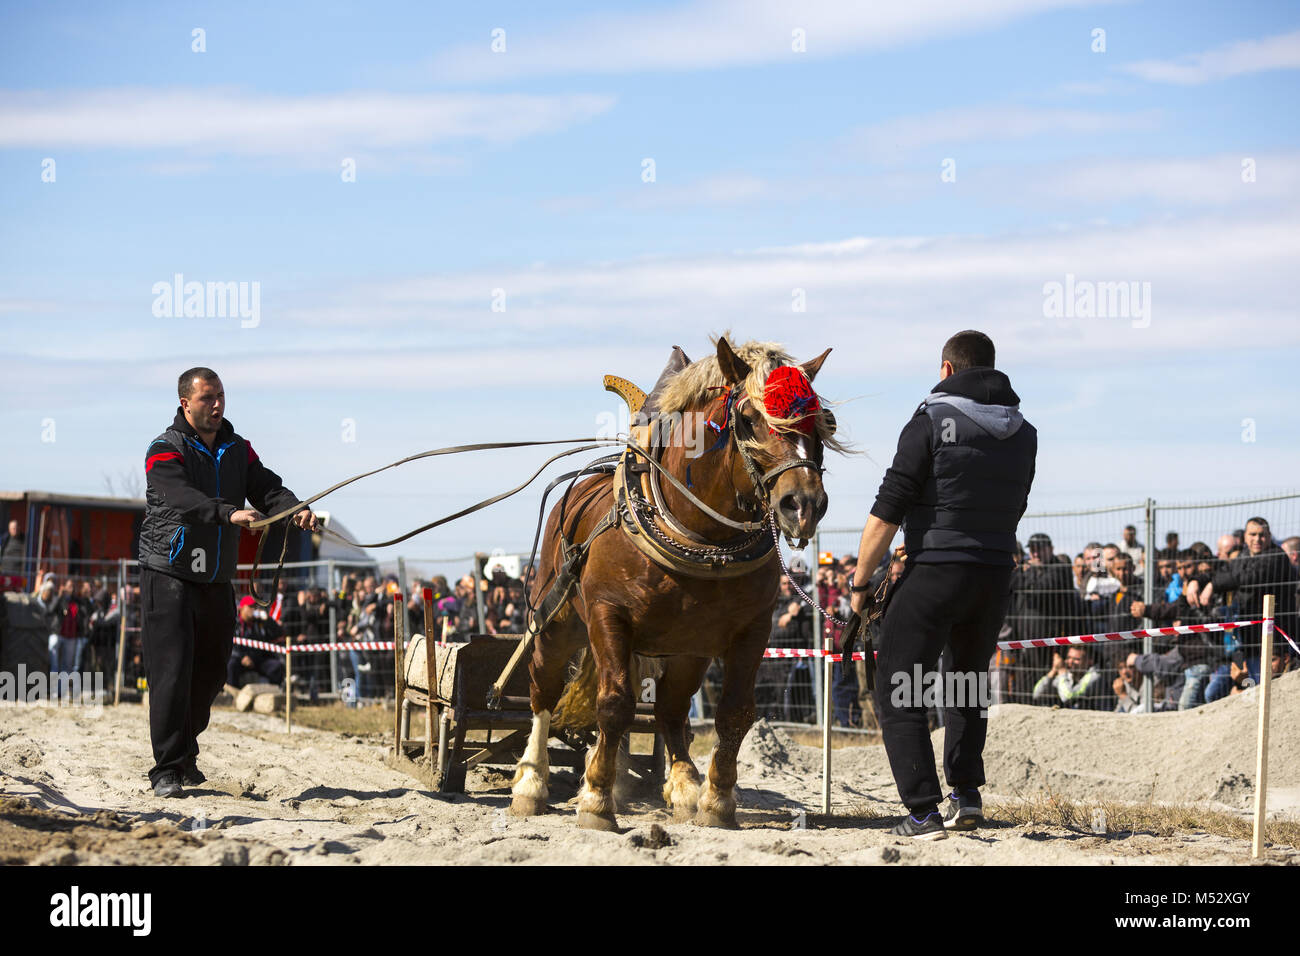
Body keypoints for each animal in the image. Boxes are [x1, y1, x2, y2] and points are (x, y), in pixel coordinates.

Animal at [509, 335, 842, 830]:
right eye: (748, 418)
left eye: (822, 422)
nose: (802, 504)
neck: (700, 536)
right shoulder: (609, 616)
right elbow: (615, 705)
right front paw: (596, 800)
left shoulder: (753, 629)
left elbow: (735, 712)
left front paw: (716, 802)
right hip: (557, 624)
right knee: (543, 691)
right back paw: (531, 783)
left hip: (688, 649)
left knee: (670, 708)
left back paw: (684, 786)